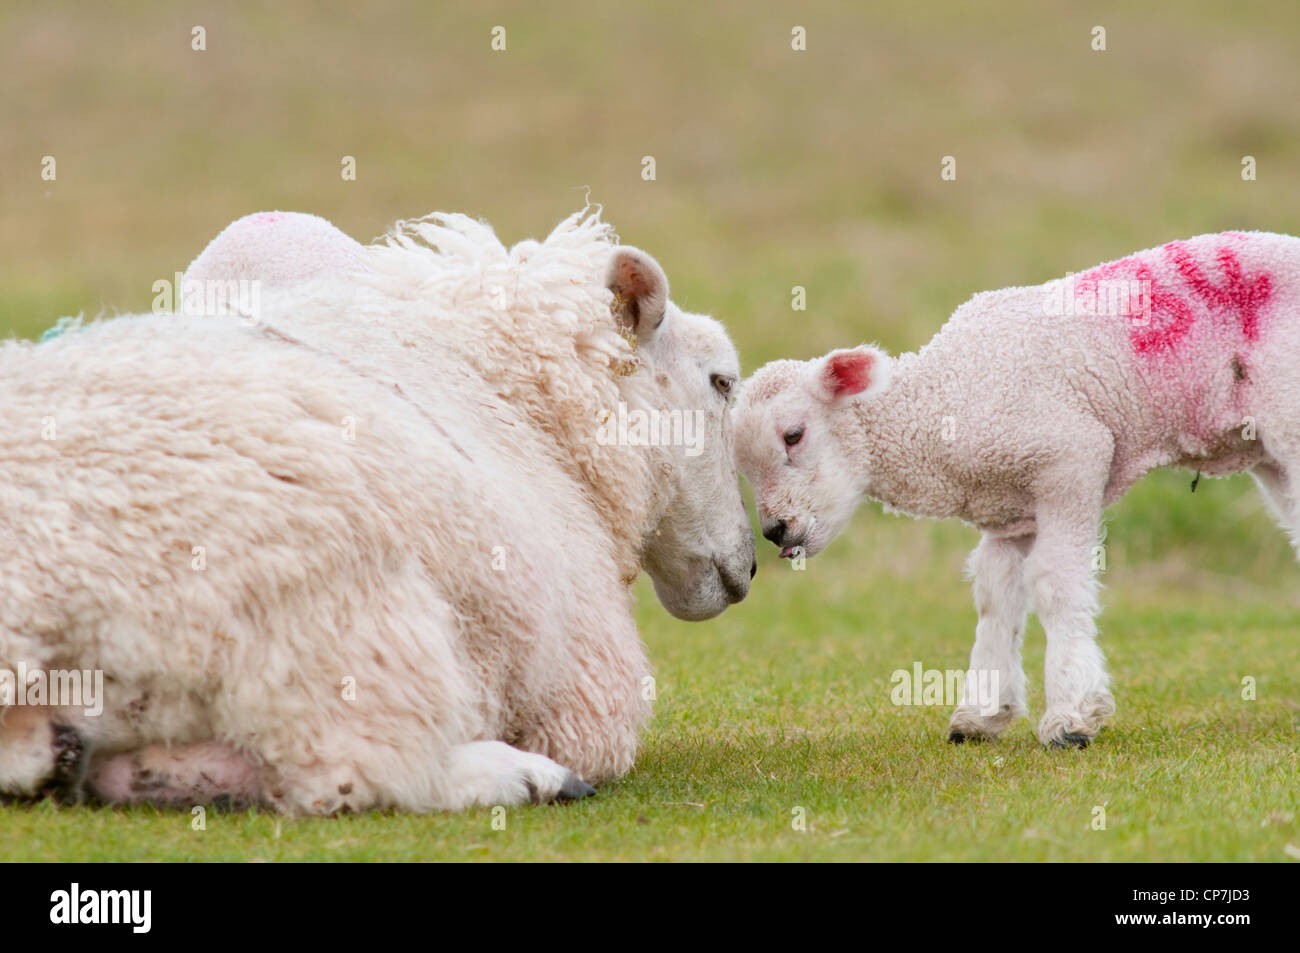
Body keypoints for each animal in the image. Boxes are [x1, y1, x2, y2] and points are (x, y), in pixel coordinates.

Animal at [0, 207, 756, 812]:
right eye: (722, 381)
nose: (749, 565)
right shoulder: (586, 692)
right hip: (341, 621)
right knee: (351, 770)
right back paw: (524, 776)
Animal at [734, 230, 1300, 748]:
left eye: (793, 435)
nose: (775, 529)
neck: (939, 404)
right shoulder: (1007, 507)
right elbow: (995, 596)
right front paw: (982, 715)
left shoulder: (1071, 458)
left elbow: (1053, 584)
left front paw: (1071, 718)